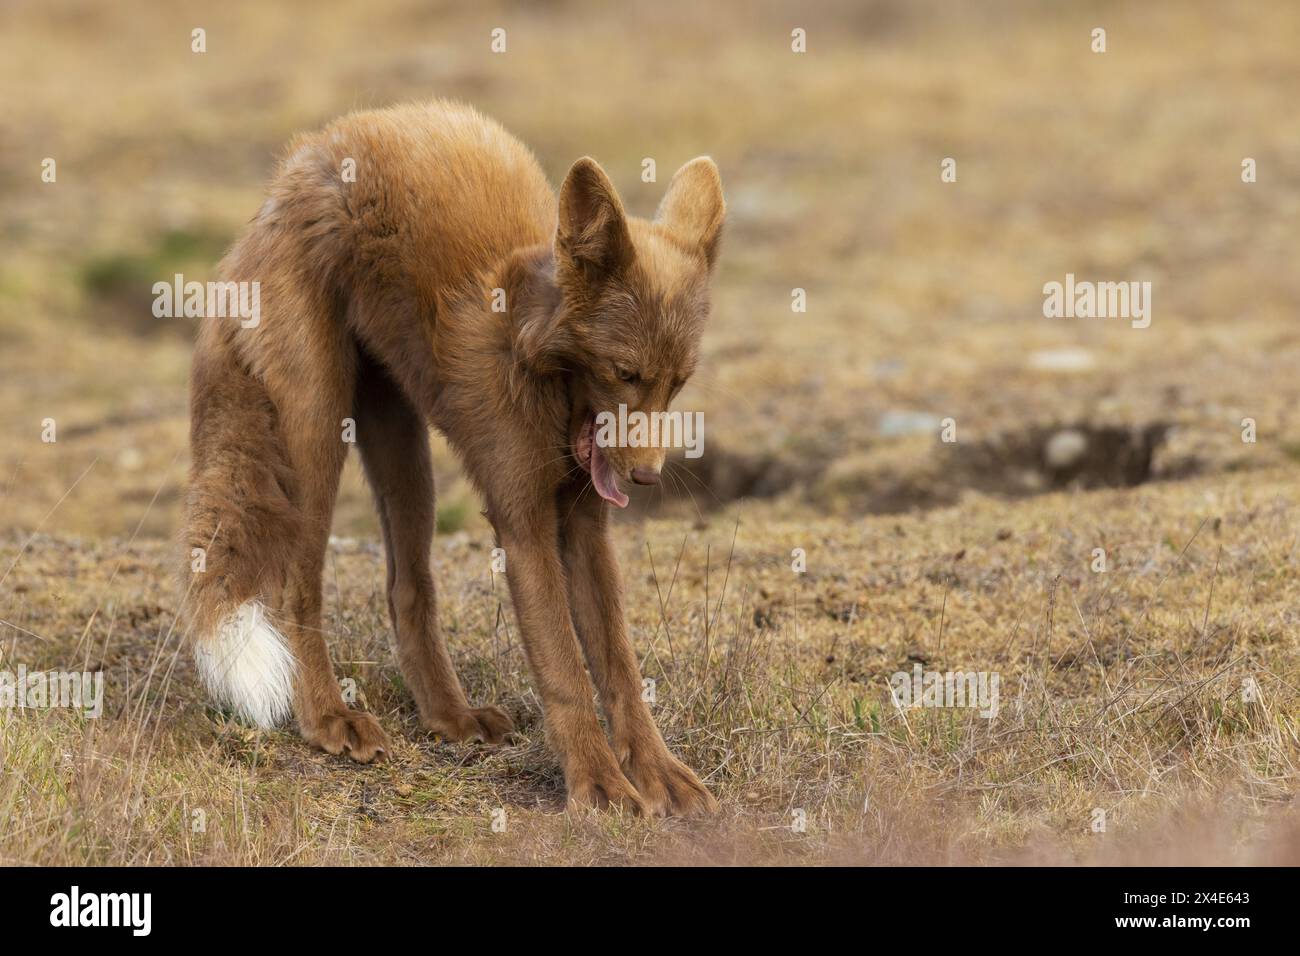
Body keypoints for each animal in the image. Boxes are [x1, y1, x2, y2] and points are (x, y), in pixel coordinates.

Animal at [179, 101, 724, 815]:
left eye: (678, 383)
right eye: (623, 372)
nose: (646, 477)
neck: (544, 381)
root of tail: (299, 163)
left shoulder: (583, 524)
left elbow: (620, 668)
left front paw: (657, 772)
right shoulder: (521, 522)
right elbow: (567, 674)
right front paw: (599, 786)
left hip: (405, 453)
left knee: (406, 589)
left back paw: (448, 715)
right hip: (317, 437)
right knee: (298, 590)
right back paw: (327, 719)